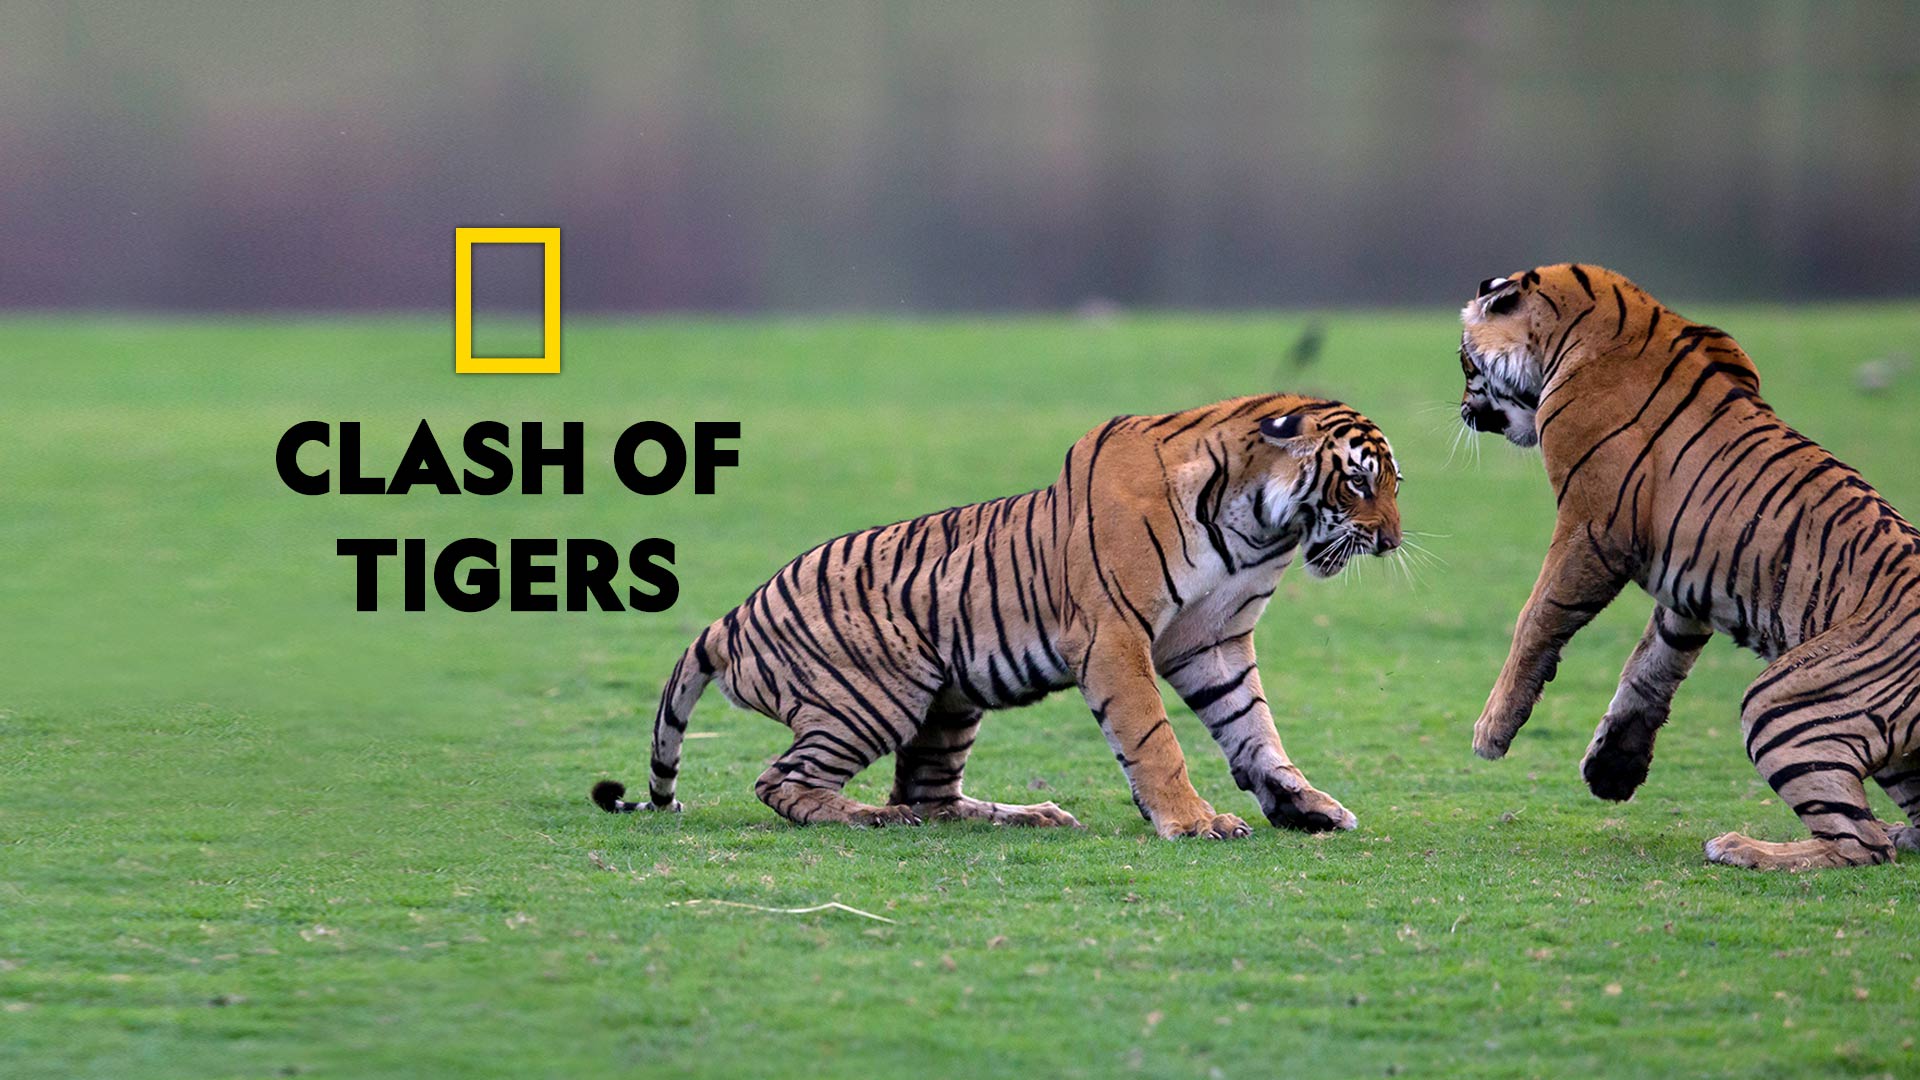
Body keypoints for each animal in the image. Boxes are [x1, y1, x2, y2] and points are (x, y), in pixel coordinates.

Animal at [592, 394, 1401, 839]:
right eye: (1359, 481)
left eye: (1393, 483)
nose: (1392, 541)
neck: (1257, 527)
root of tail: (729, 615)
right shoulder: (1115, 636)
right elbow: (1154, 738)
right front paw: (1194, 821)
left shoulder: (1215, 642)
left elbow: (1254, 728)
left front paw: (1304, 806)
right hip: (876, 698)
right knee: (783, 782)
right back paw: (869, 818)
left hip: (949, 704)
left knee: (932, 795)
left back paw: (1029, 815)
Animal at [1458, 262, 1920, 870]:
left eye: (1464, 362)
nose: (1462, 411)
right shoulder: (1688, 584)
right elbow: (1650, 665)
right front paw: (1613, 769)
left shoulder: (1592, 527)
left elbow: (1536, 617)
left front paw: (1493, 730)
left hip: (1780, 703)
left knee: (1860, 845)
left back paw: (1740, 847)